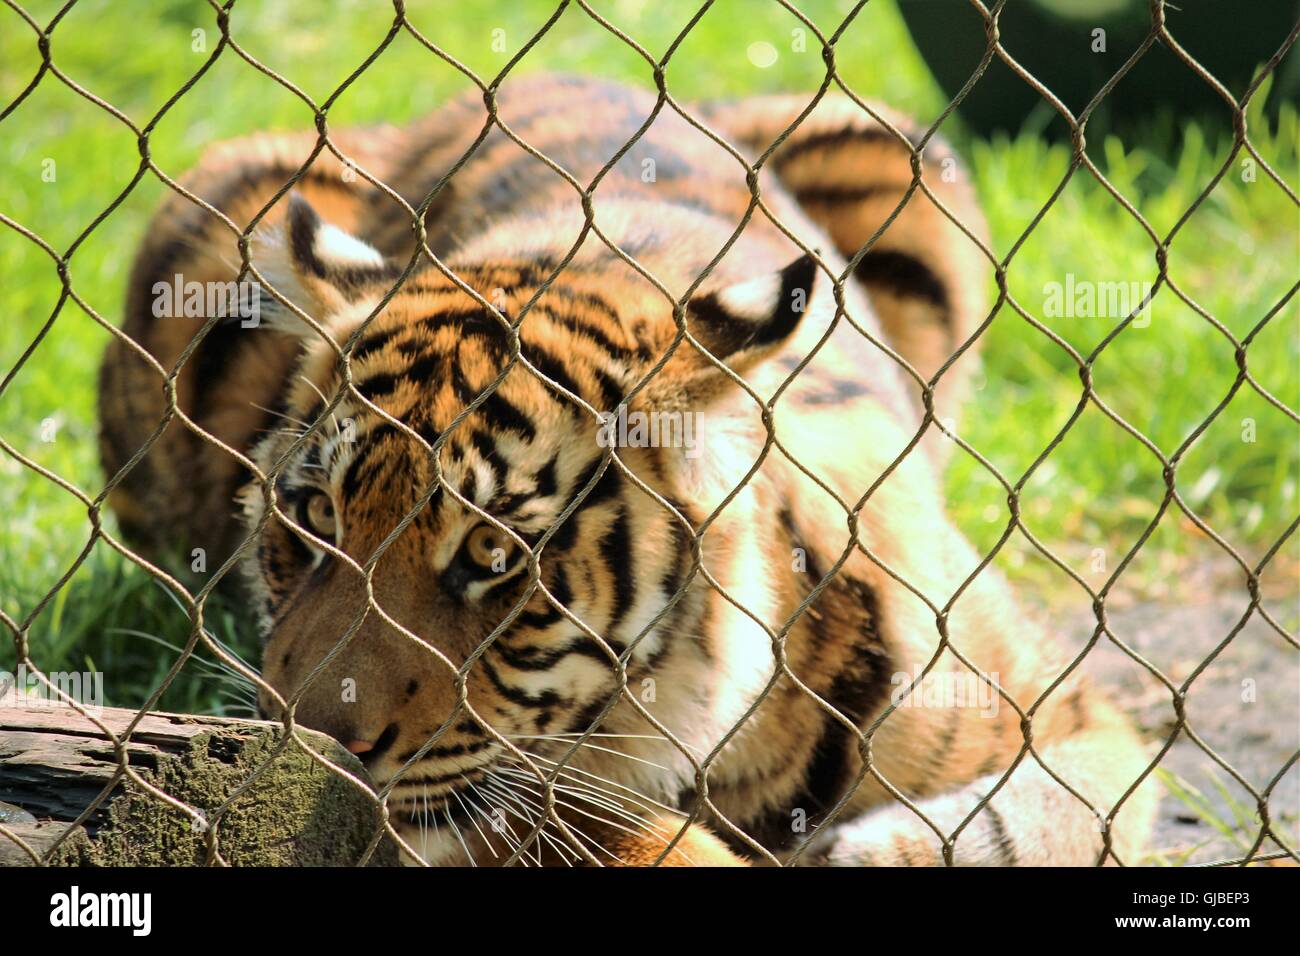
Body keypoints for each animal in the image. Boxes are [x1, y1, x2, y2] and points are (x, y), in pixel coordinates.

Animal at [99, 73, 1157, 866]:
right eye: (316, 519)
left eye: (492, 558)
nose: (311, 754)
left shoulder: (1073, 707)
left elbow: (1070, 812)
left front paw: (877, 849)